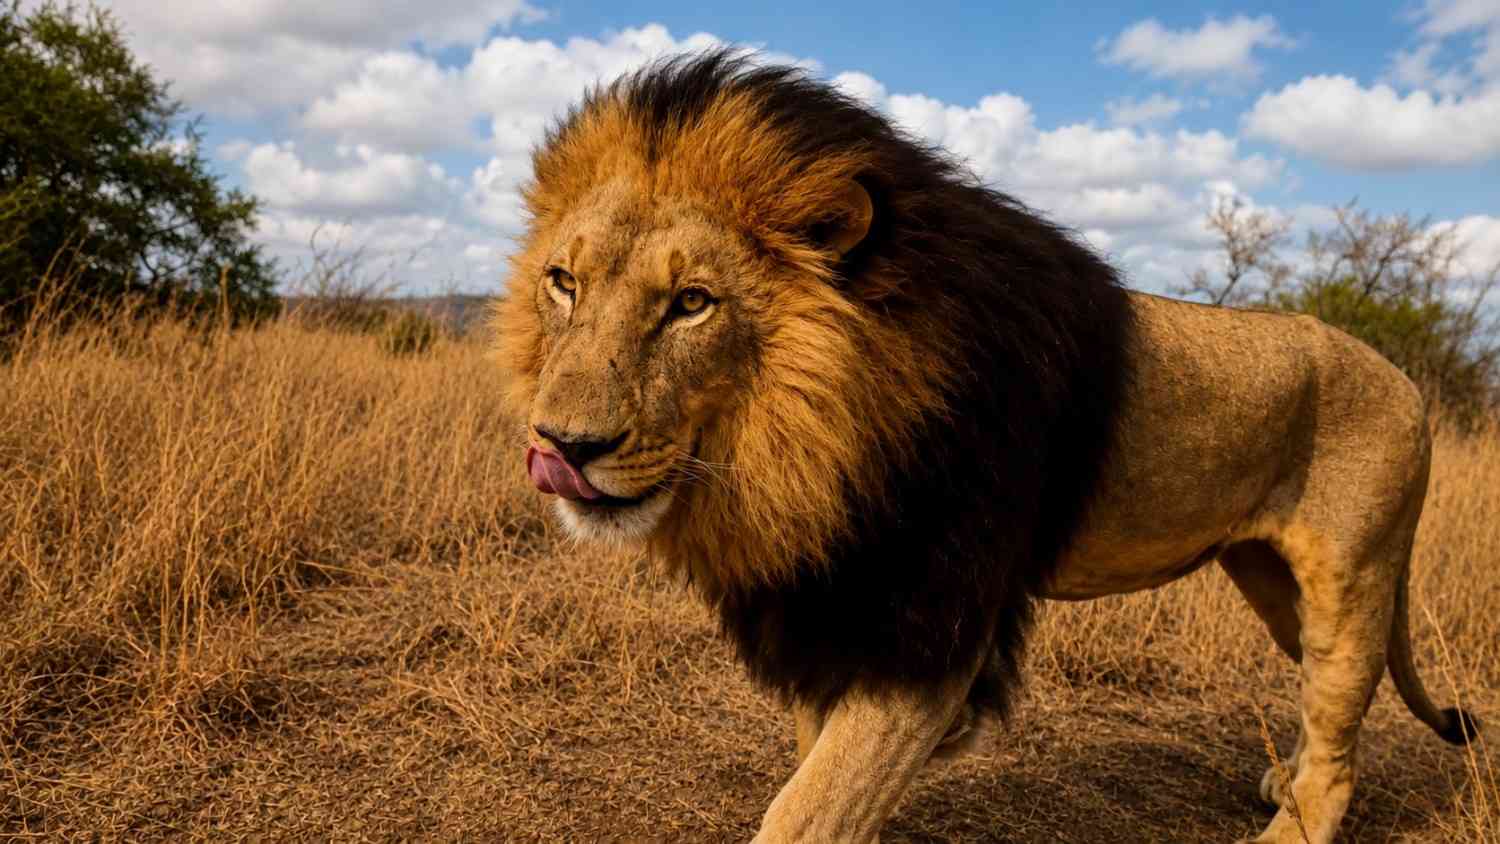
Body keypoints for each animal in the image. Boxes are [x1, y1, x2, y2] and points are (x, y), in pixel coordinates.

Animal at [492, 51, 1480, 843]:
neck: (808, 440)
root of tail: (1404, 379)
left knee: (1341, 736)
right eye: (564, 283)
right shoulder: (832, 605)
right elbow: (820, 772)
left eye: (692, 303)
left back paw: (1291, 823)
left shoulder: (931, 629)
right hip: (1272, 582)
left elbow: (808, 809)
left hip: (1351, 578)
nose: (564, 444)